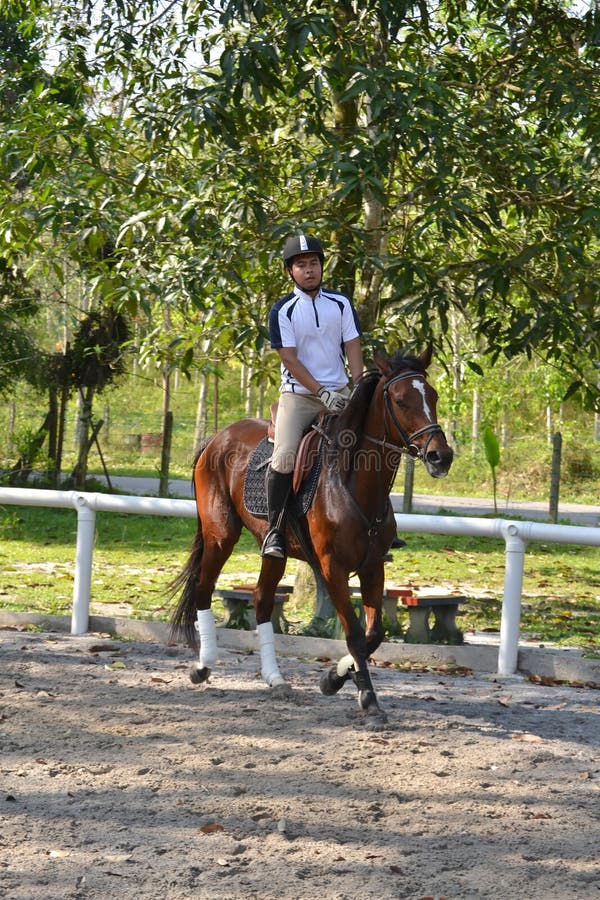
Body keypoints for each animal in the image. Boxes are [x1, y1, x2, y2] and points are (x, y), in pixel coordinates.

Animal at [170, 345, 453, 726]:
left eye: (433, 396)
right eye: (399, 400)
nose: (441, 456)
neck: (351, 481)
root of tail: (217, 437)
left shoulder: (373, 566)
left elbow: (373, 633)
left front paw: (334, 678)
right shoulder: (333, 568)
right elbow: (355, 635)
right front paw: (367, 699)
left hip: (271, 549)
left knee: (262, 600)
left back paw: (275, 680)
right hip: (220, 535)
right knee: (203, 588)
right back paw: (202, 667)